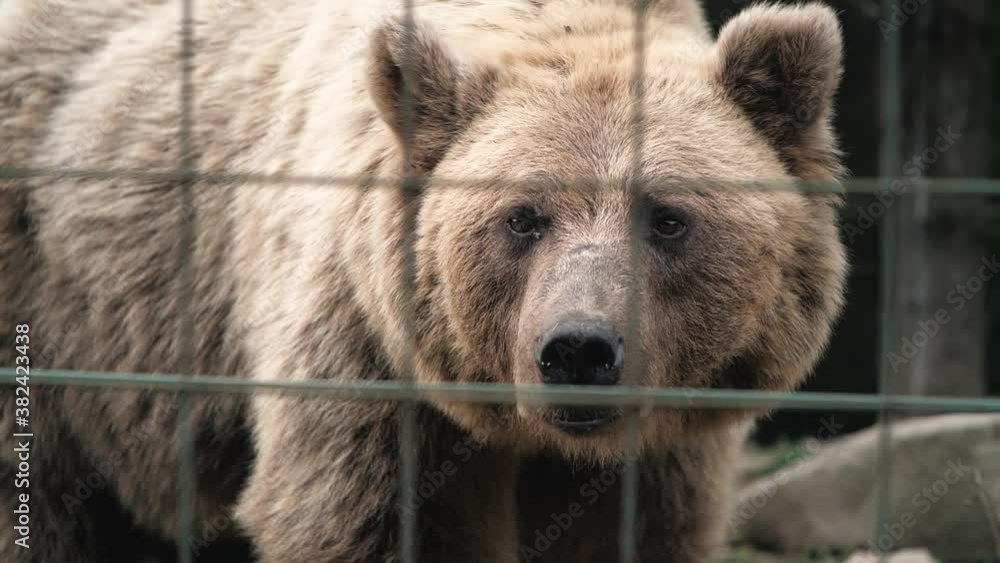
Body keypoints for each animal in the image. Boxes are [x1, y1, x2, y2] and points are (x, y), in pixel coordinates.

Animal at [0, 0, 848, 562]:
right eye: (523, 216)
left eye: (668, 217)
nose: (579, 349)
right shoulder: (365, 361)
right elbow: (360, 519)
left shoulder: (664, 444)